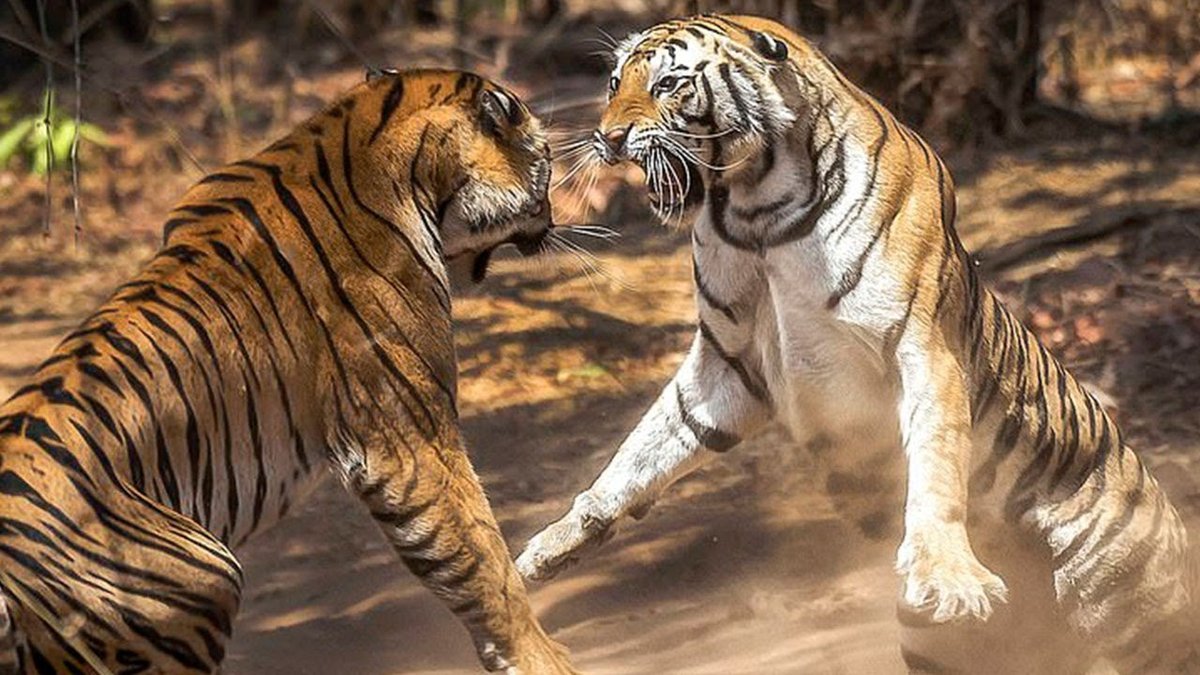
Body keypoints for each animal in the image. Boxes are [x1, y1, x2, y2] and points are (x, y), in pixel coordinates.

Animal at [0, 68, 577, 674]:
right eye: (546, 160)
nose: (555, 216)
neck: (366, 130)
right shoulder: (406, 440)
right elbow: (481, 557)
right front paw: (541, 657)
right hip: (202, 577)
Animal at [515, 14, 1198, 673]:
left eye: (669, 84)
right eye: (614, 84)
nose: (607, 137)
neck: (752, 207)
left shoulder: (921, 346)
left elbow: (935, 463)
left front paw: (947, 575)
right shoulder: (728, 363)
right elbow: (644, 450)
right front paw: (551, 545)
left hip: (1134, 616)